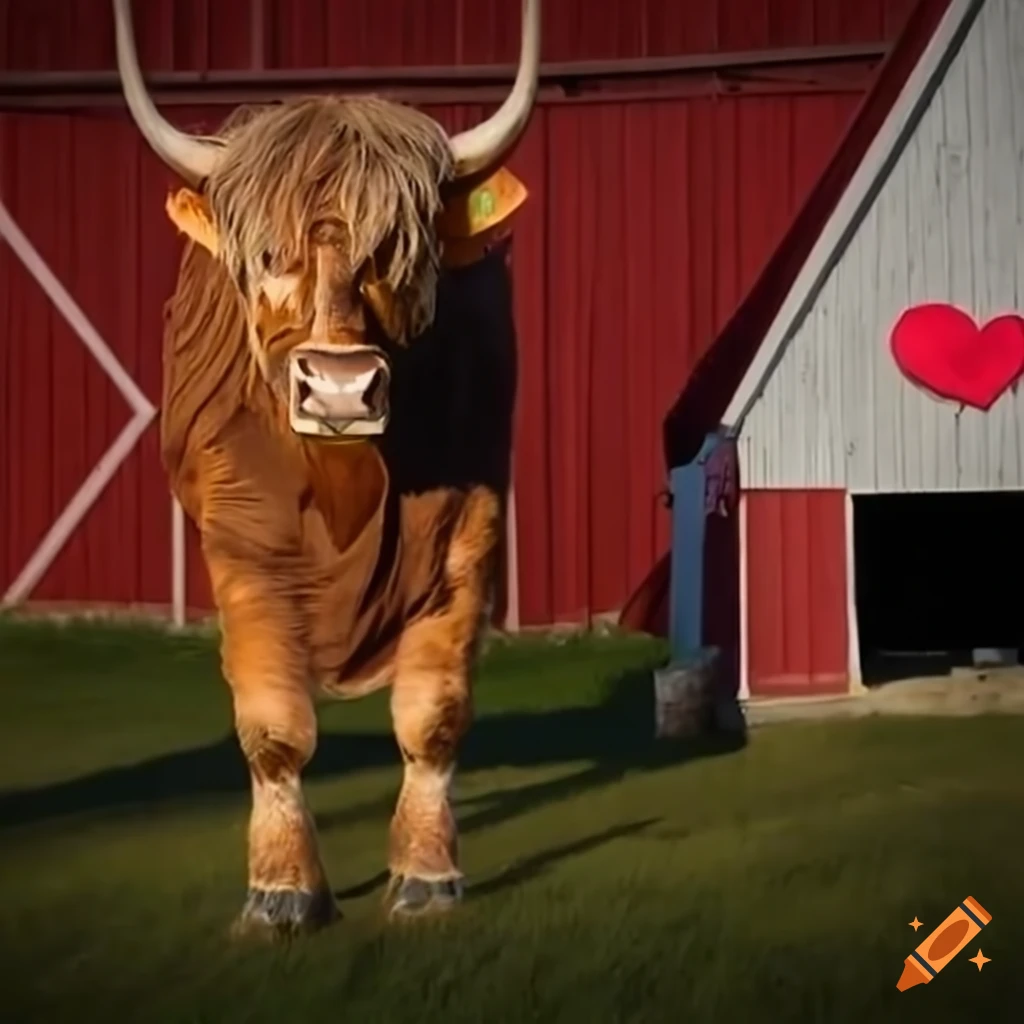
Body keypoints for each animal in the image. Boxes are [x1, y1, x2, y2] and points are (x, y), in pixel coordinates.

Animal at [112, 0, 540, 937]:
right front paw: (282, 889)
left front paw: (427, 874)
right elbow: (274, 726)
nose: (341, 386)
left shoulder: (473, 526)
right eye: (268, 255)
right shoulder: (242, 543)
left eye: (402, 256)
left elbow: (433, 716)